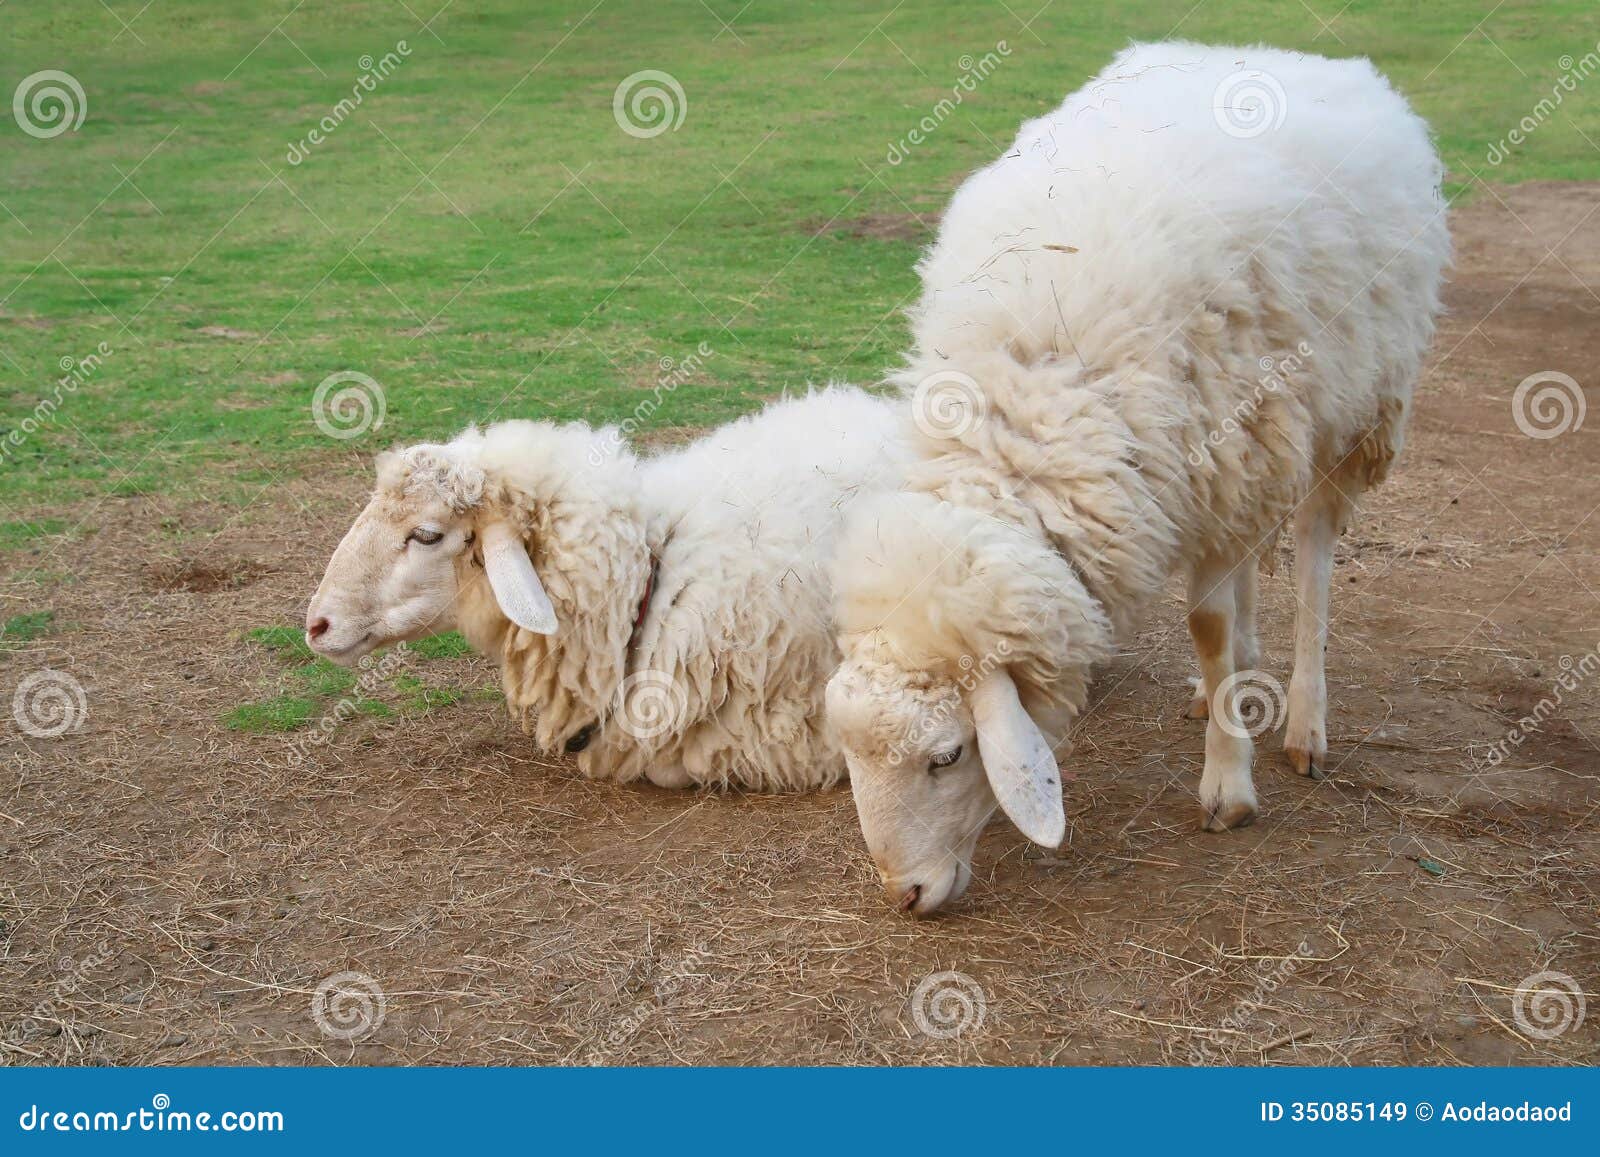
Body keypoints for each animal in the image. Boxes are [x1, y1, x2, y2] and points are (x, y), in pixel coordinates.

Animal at [824, 42, 1450, 915]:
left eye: (947, 756)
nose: (902, 893)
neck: (1034, 399)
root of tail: (1291, 55)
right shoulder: (1216, 464)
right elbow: (1220, 618)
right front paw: (1226, 702)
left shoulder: (1234, 445)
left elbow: (1207, 625)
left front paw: (1228, 787)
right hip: (1258, 445)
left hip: (1356, 407)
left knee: (1313, 550)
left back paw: (1303, 722)